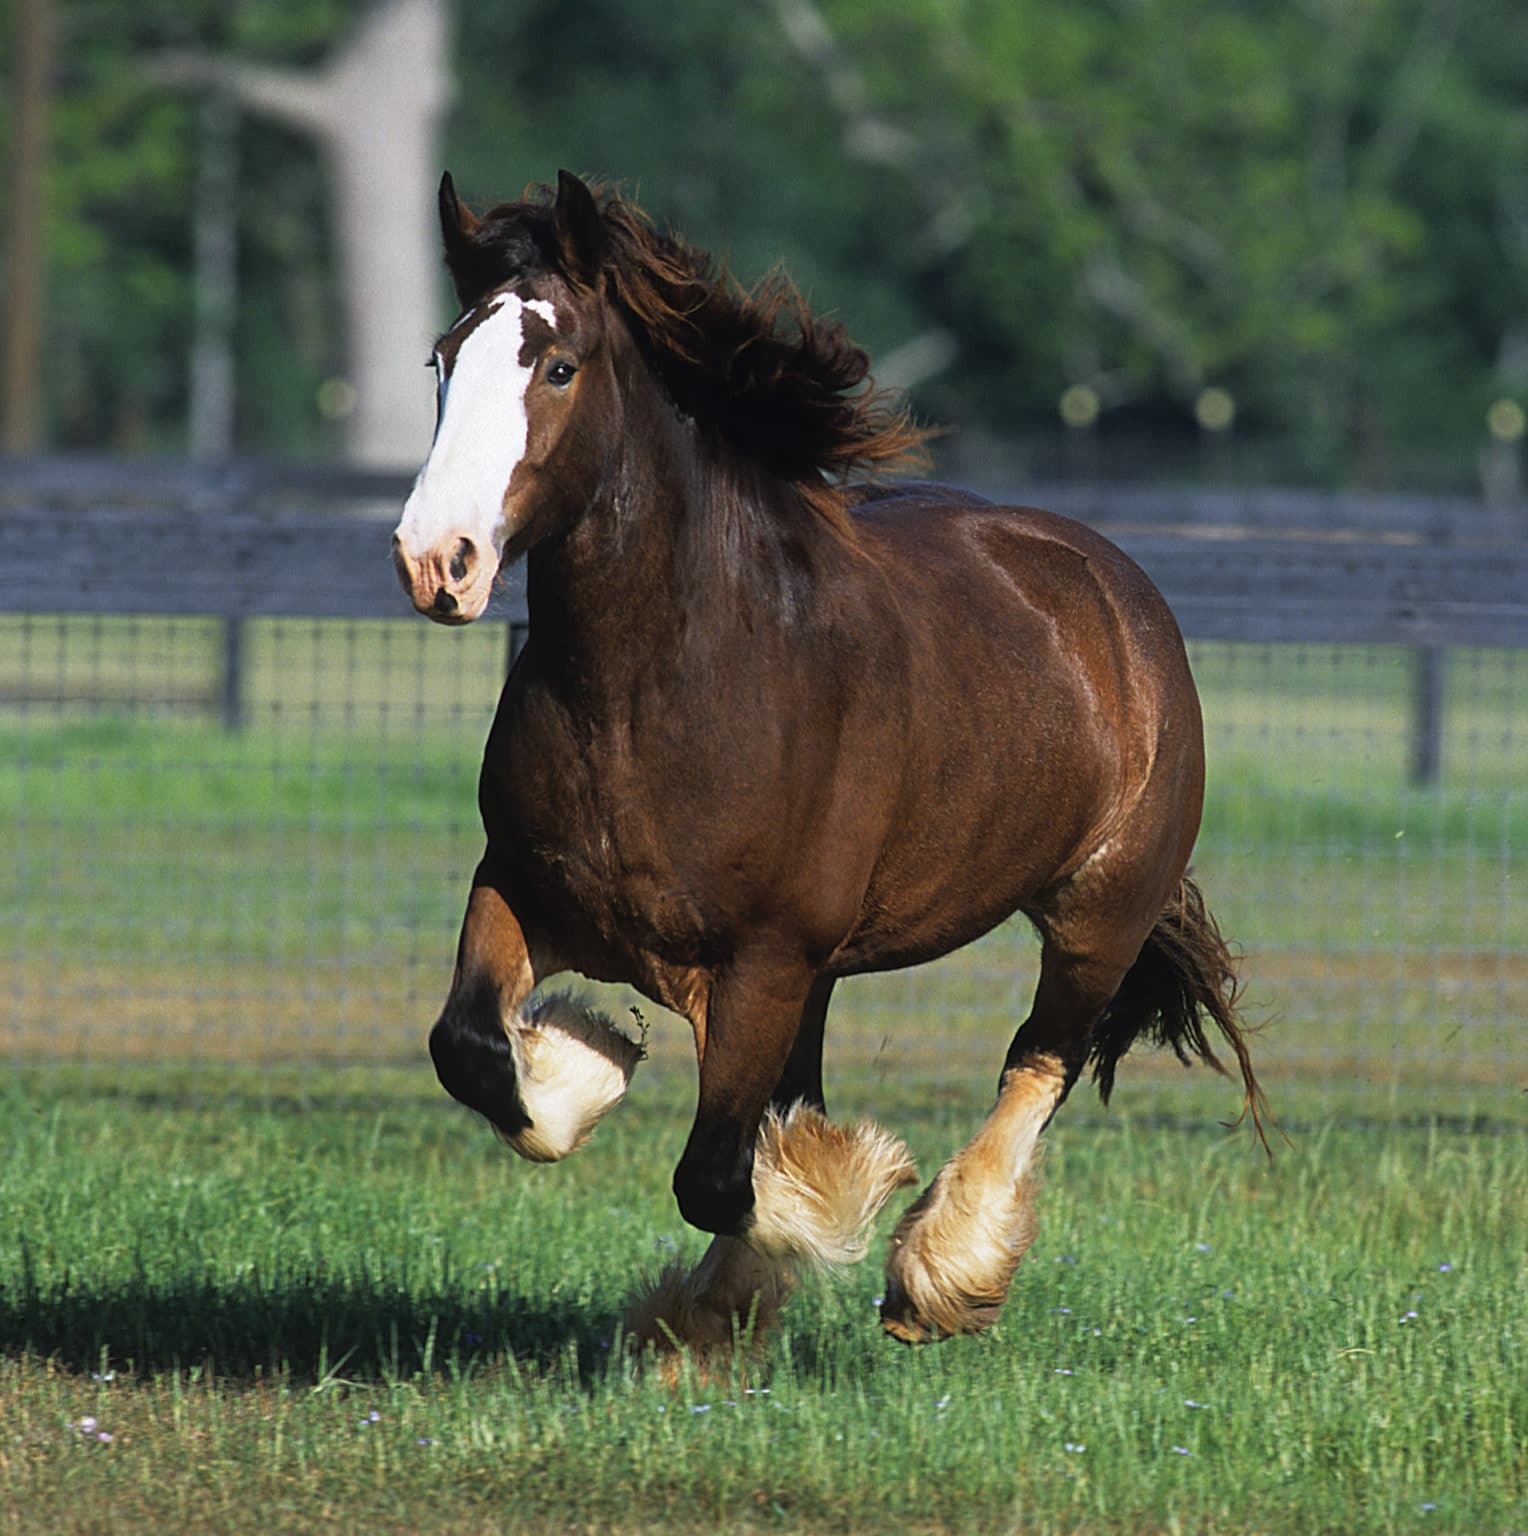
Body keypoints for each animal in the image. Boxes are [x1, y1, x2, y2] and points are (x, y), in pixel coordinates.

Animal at [391, 170, 1267, 1350]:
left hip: (1096, 915)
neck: (660, 692)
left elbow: (719, 1174)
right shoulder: (522, 886)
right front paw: (586, 1059)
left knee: (1040, 1061)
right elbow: (473, 1051)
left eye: (558, 364)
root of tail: (1110, 585)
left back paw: (936, 1279)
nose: (436, 561)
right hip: (826, 969)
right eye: (443, 358)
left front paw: (827, 1200)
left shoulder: (766, 958)